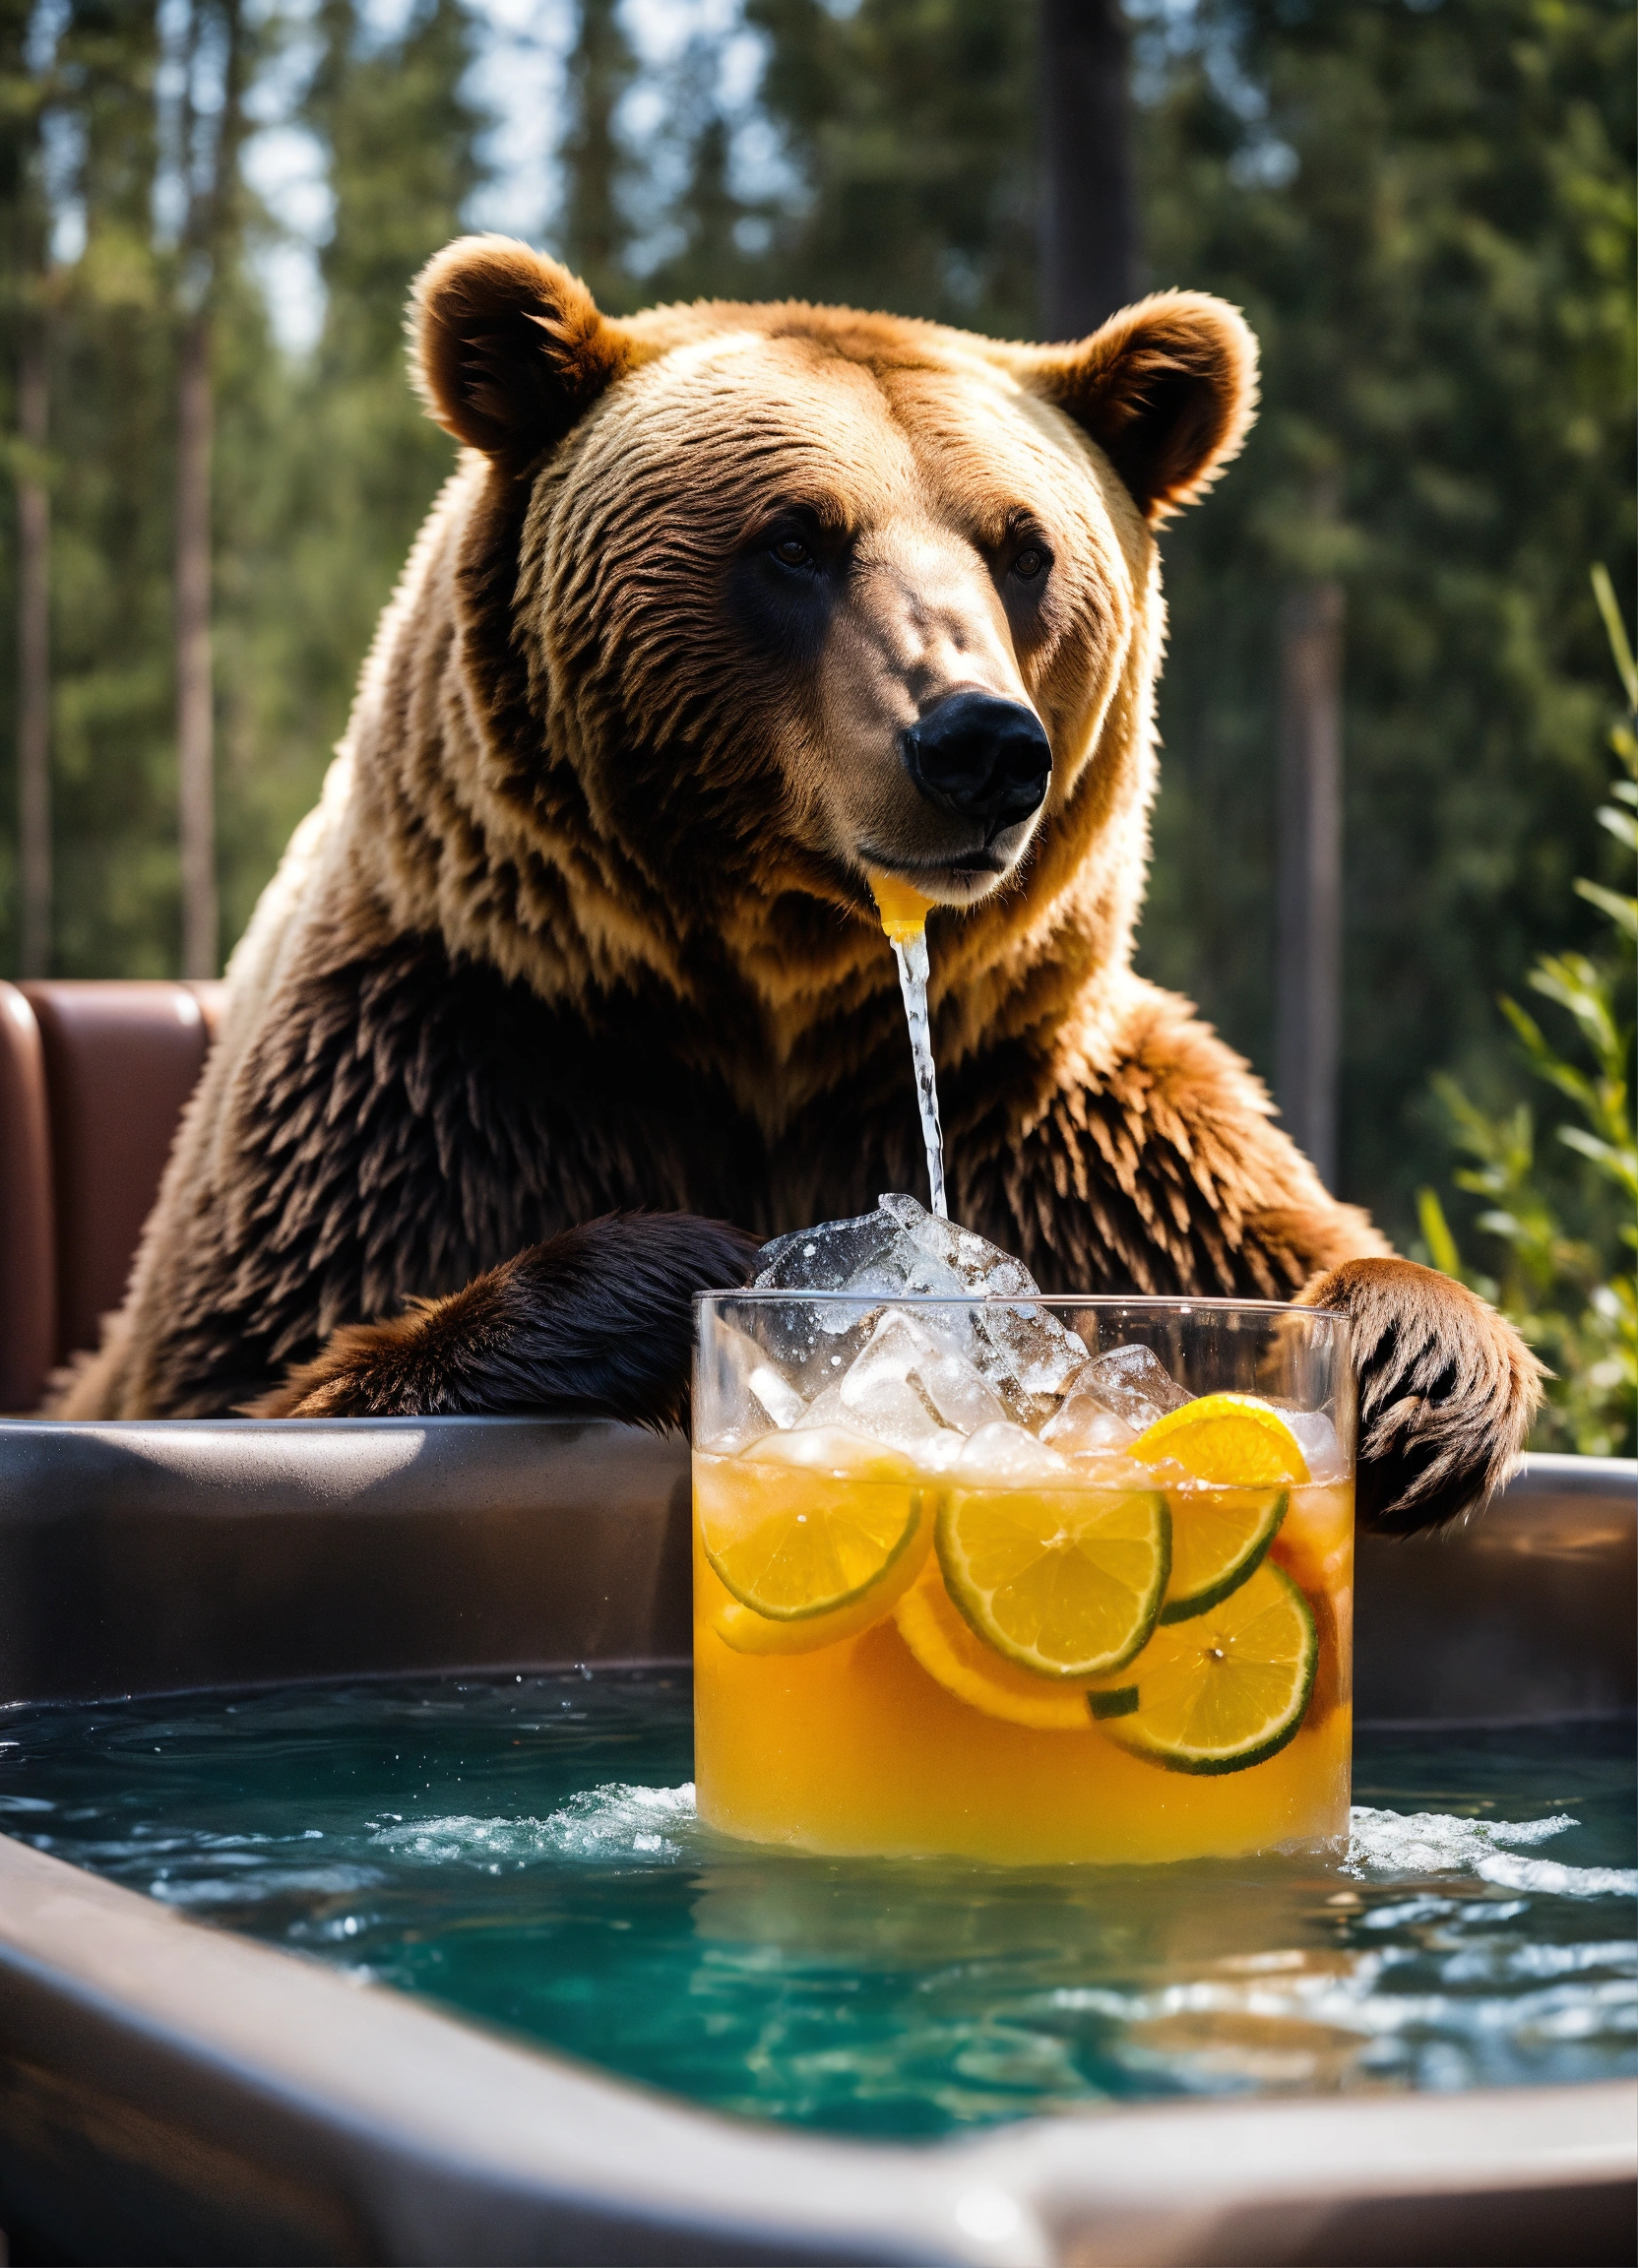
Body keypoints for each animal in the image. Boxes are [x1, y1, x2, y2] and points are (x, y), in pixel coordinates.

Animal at [60, 235, 1540, 1534]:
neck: (776, 1003)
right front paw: (675, 1270)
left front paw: (1411, 1367)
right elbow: (263, 1374)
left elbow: (1252, 1241)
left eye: (1025, 548)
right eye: (794, 538)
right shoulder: (453, 1072)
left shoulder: (1055, 1120)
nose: (979, 743)